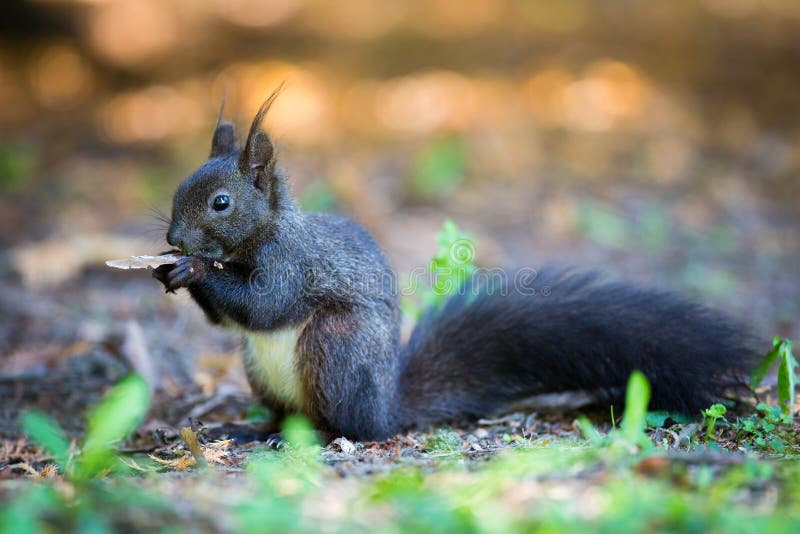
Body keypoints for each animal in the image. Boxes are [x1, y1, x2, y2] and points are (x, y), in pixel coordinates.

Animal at [153, 93, 755, 442]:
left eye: (221, 203)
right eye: (180, 187)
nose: (173, 239)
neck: (259, 238)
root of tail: (387, 408)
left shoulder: (293, 264)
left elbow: (264, 304)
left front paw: (193, 271)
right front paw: (171, 269)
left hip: (336, 347)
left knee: (347, 428)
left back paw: (317, 436)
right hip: (261, 370)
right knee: (288, 415)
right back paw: (250, 430)